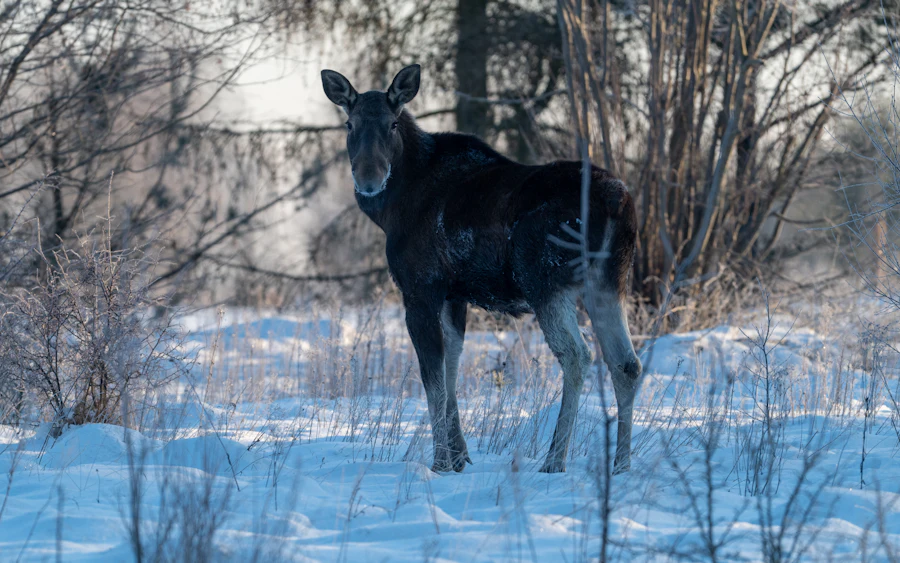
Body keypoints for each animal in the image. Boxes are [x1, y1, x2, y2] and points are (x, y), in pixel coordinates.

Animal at [321, 64, 642, 474]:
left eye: (392, 123)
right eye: (349, 124)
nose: (368, 180)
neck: (391, 210)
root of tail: (619, 202)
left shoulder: (419, 287)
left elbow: (433, 380)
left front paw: (440, 462)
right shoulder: (453, 294)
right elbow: (452, 368)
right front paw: (460, 456)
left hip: (543, 277)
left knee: (577, 355)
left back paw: (554, 460)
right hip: (608, 280)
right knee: (626, 363)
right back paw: (621, 465)